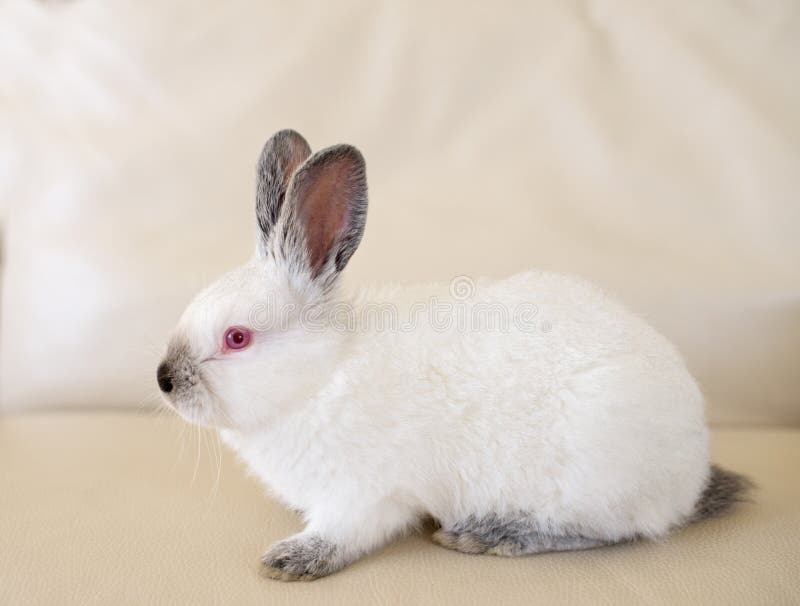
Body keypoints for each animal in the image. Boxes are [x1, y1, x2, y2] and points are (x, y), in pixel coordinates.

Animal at [157, 129, 749, 581]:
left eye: (236, 338)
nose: (163, 379)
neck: (320, 376)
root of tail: (690, 474)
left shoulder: (367, 494)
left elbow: (344, 532)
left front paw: (291, 559)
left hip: (590, 482)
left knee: (609, 531)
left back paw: (490, 535)